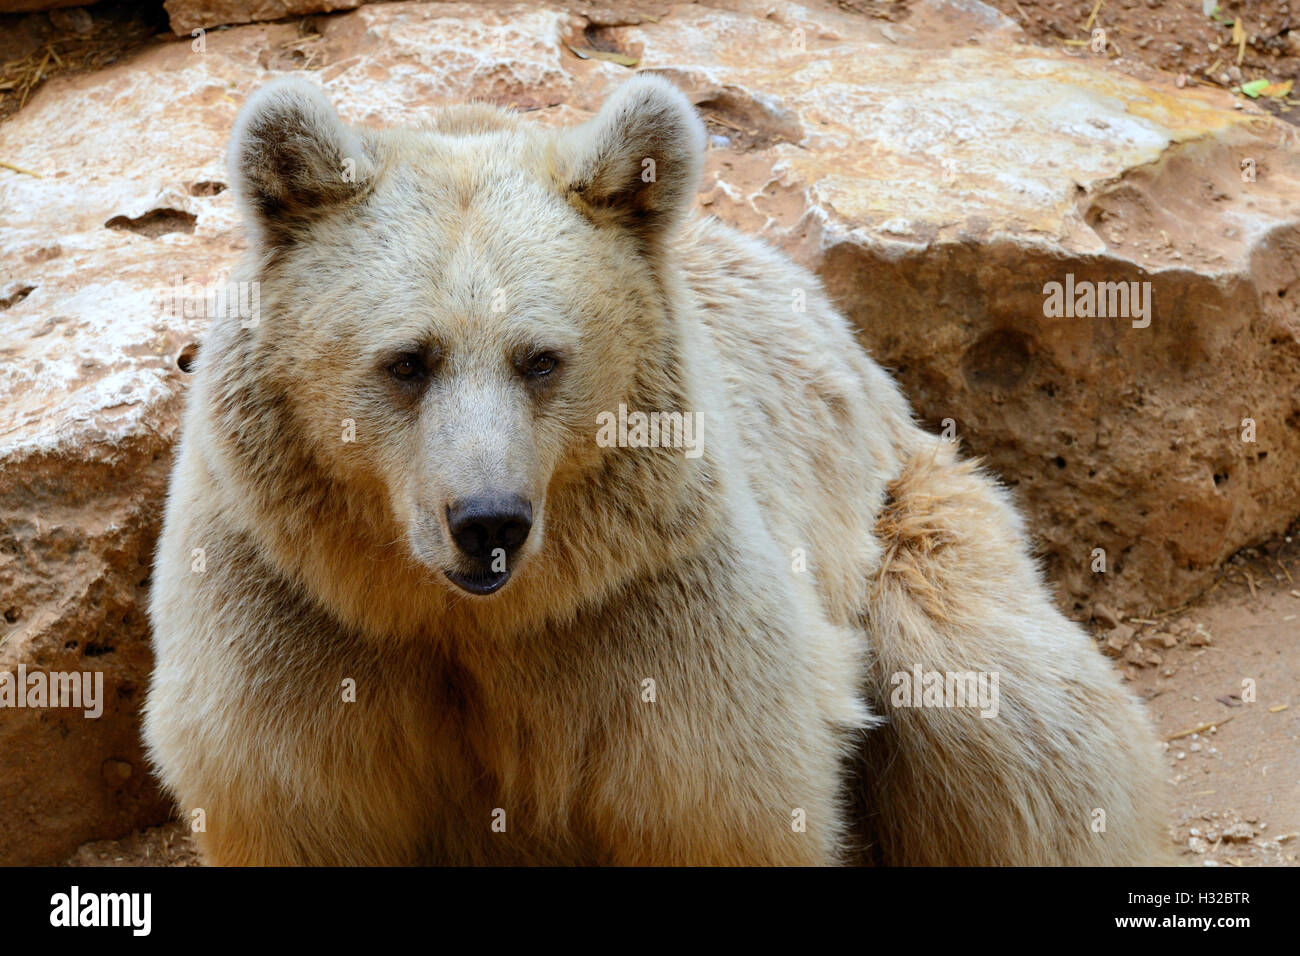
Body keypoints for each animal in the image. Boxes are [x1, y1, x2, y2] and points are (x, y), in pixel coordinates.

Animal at [142, 74, 1167, 865]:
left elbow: (718, 799)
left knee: (997, 709)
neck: (463, 617)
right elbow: (299, 801)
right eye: (407, 360)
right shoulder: (297, 612)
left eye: (540, 359)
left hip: (901, 510)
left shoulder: (646, 607)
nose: (488, 521)